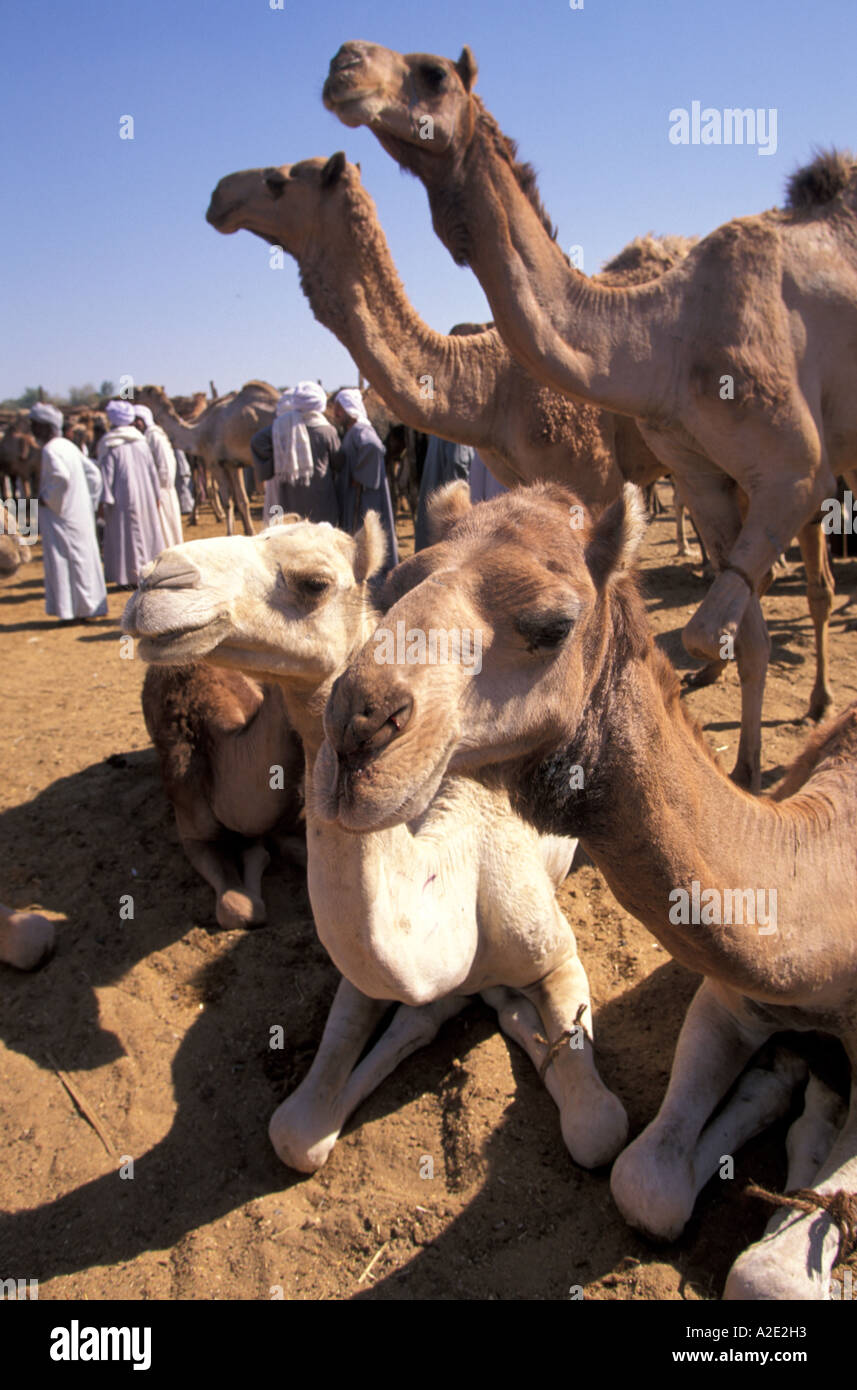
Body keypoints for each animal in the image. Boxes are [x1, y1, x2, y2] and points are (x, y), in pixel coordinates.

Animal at [136, 382, 279, 536]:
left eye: (138, 391)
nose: (127, 394)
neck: (198, 433)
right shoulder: (232, 464)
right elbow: (242, 500)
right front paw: (249, 532)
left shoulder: (214, 462)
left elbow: (227, 501)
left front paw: (229, 533)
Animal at [318, 480, 857, 1299]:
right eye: (396, 585)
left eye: (553, 624)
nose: (356, 729)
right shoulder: (729, 997)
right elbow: (644, 1183)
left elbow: (759, 1262)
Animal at [323, 42, 857, 789]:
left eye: (432, 73)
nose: (344, 64)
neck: (666, 335)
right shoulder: (697, 470)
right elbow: (733, 623)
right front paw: (743, 764)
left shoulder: (791, 469)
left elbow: (695, 619)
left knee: (816, 581)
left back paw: (818, 697)